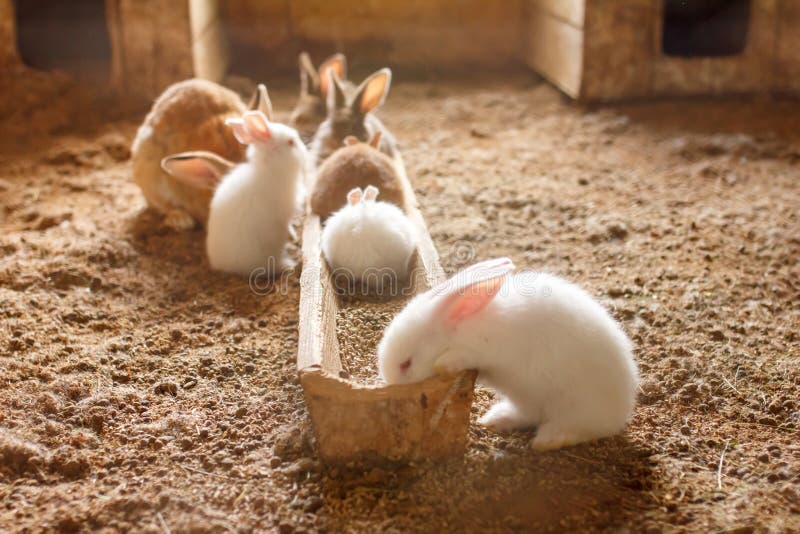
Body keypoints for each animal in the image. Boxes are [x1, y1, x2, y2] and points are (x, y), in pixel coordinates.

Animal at [377, 257, 639, 451]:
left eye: (406, 364)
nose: (392, 383)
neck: (459, 328)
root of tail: (622, 411)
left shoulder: (481, 349)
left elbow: (459, 356)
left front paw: (443, 364)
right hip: (525, 398)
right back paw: (494, 419)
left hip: (573, 408)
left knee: (579, 429)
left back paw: (546, 441)